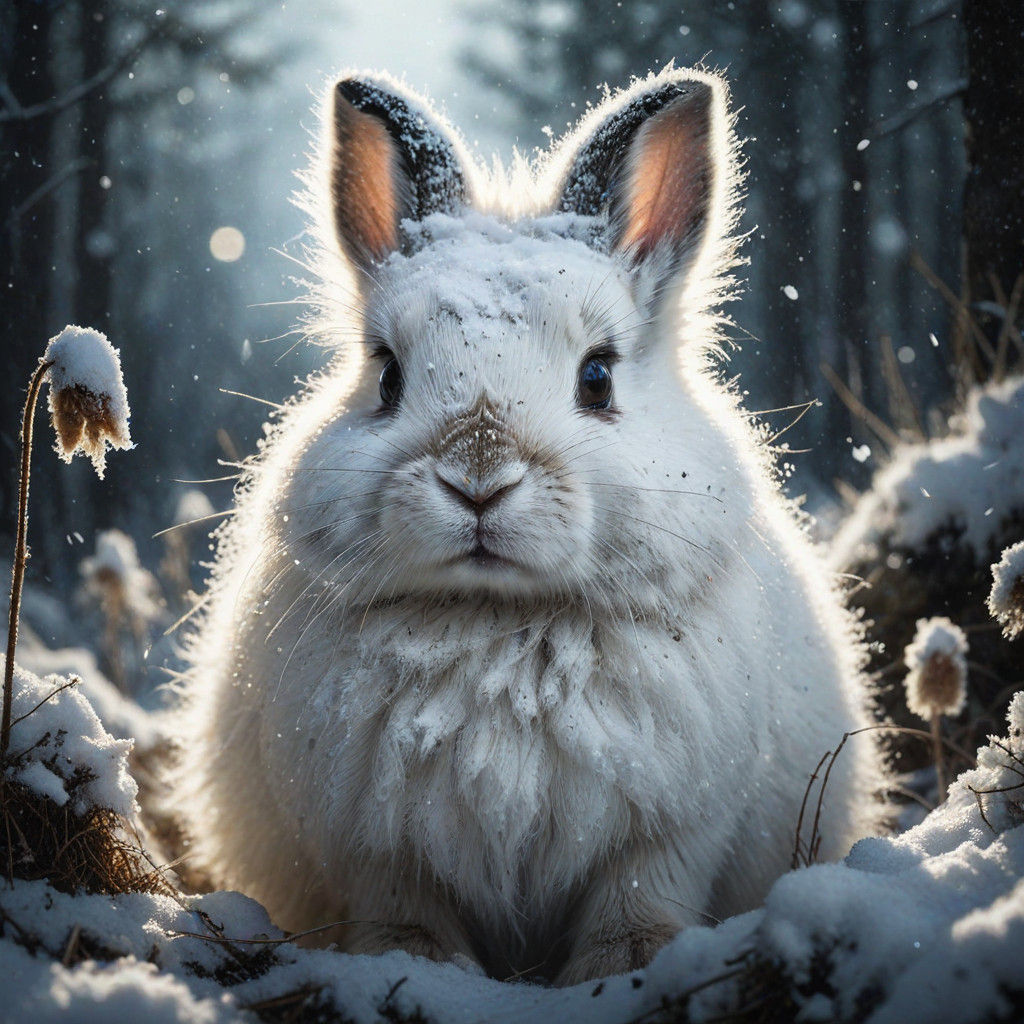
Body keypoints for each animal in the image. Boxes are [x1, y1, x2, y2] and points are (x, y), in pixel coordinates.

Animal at [173, 66, 884, 986]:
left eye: (598, 377)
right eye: (387, 376)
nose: (478, 479)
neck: (499, 618)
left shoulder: (671, 829)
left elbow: (639, 891)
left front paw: (627, 964)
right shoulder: (376, 843)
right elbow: (403, 906)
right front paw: (418, 964)